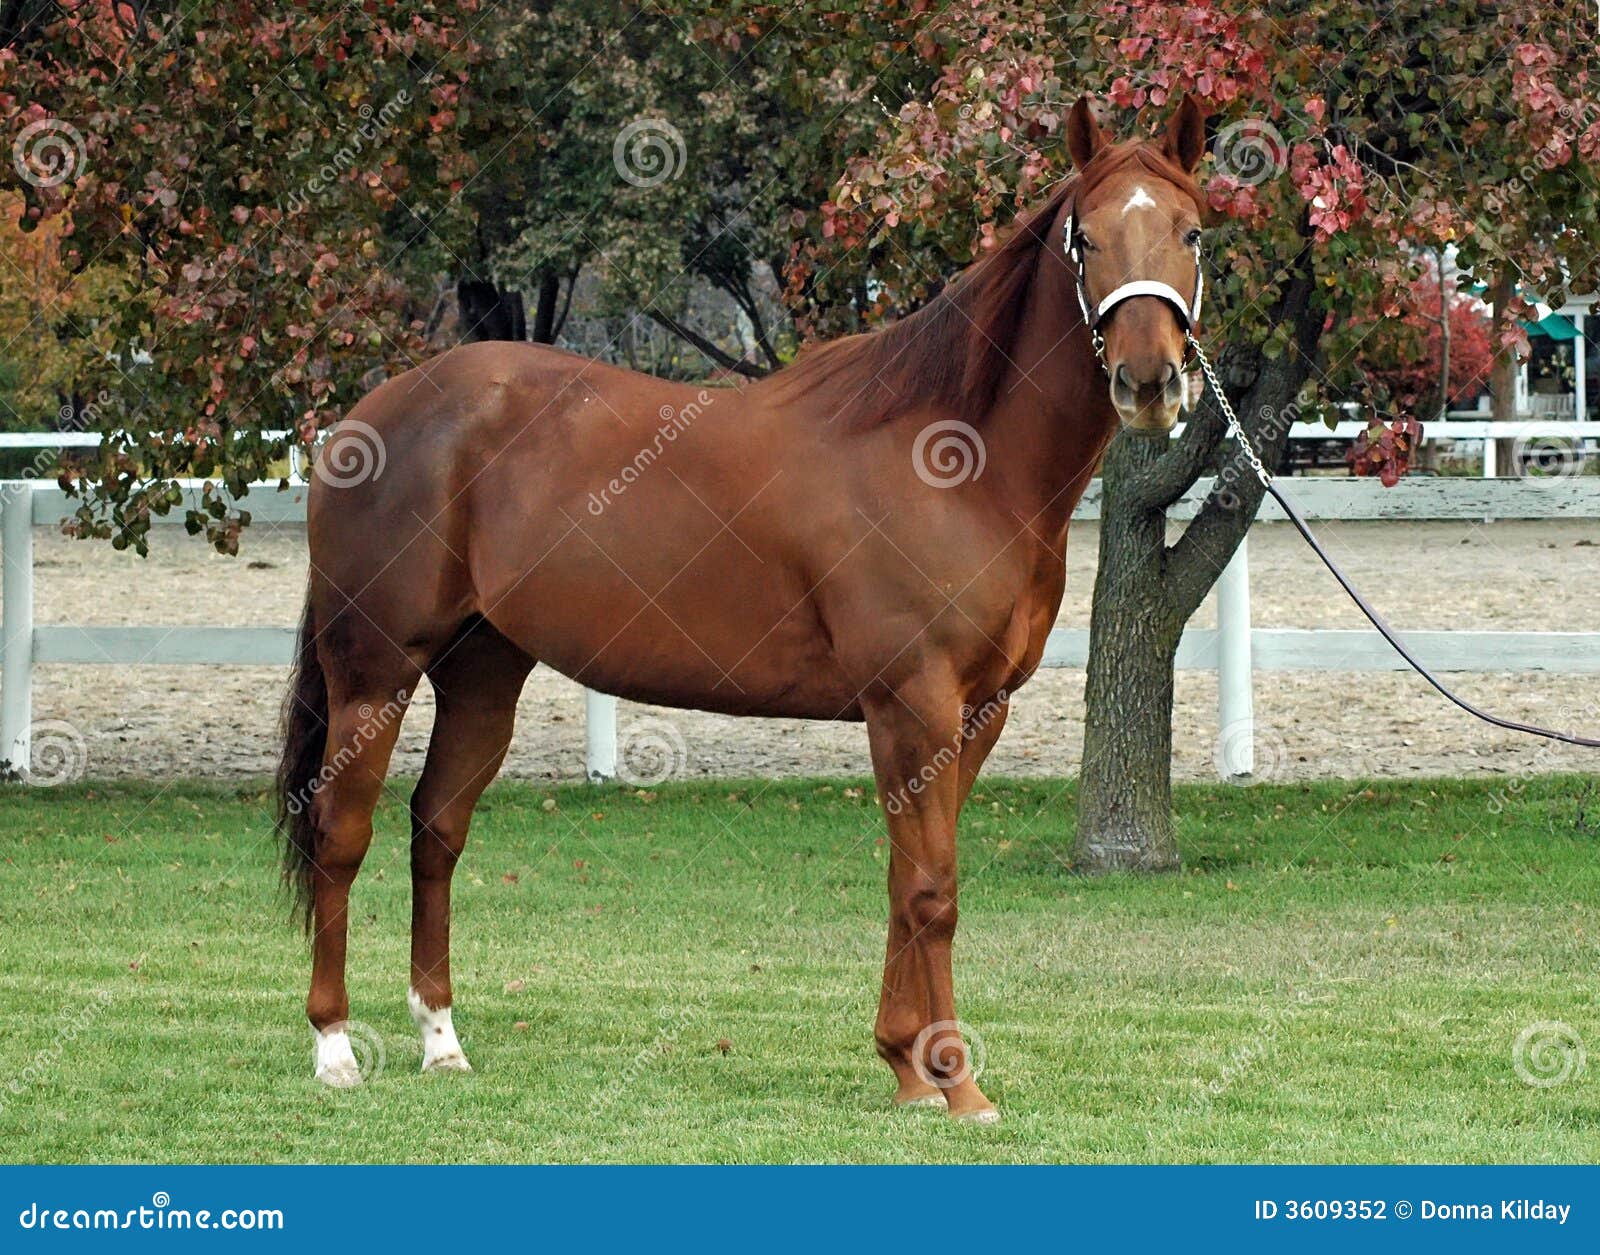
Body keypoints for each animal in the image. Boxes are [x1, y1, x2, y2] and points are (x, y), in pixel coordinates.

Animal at [276, 95, 1208, 1122]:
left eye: (1193, 232)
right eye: (1087, 237)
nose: (1150, 382)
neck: (958, 457)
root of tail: (368, 418)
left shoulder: (977, 713)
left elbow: (905, 881)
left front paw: (905, 1067)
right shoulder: (913, 706)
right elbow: (933, 890)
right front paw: (956, 1083)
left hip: (481, 674)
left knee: (436, 831)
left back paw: (441, 1040)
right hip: (375, 673)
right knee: (341, 833)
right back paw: (333, 1046)